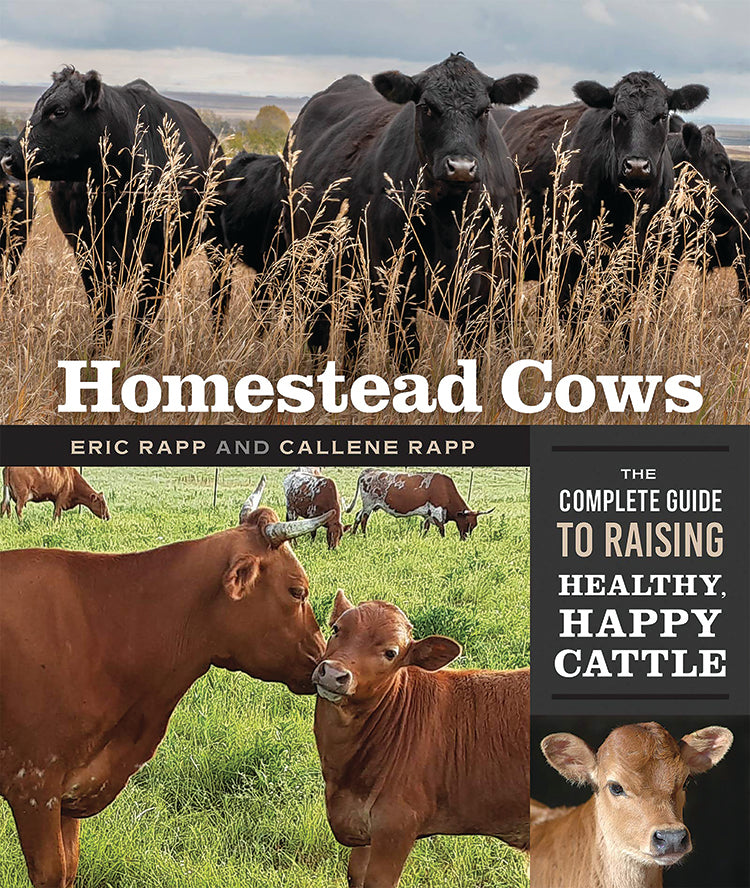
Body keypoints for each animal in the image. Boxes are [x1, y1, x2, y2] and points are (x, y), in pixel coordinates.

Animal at [0, 477, 331, 888]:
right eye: (297, 591)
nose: (323, 662)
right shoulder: (34, 784)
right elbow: (52, 872)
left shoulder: (67, 794)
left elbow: (70, 868)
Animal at [2, 67, 227, 345]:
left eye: (59, 111)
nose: (9, 159)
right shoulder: (89, 252)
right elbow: (103, 312)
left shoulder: (159, 256)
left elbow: (143, 316)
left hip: (217, 241)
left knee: (219, 289)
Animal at [285, 54, 538, 360]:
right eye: (427, 107)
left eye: (485, 109)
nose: (460, 167)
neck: (450, 220)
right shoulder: (396, 292)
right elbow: (407, 354)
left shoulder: (490, 295)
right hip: (310, 266)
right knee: (319, 331)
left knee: (354, 336)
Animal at [346, 469, 492, 539]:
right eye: (467, 523)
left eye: (474, 525)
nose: (464, 539)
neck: (446, 489)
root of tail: (369, 471)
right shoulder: (437, 511)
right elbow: (441, 529)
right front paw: (443, 540)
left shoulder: (428, 514)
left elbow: (425, 528)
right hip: (369, 504)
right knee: (364, 519)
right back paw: (364, 535)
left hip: (368, 506)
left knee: (358, 516)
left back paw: (353, 534)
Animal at [503, 73, 709, 318]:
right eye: (617, 114)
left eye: (662, 116)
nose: (636, 166)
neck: (624, 208)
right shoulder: (570, 257)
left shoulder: (637, 264)